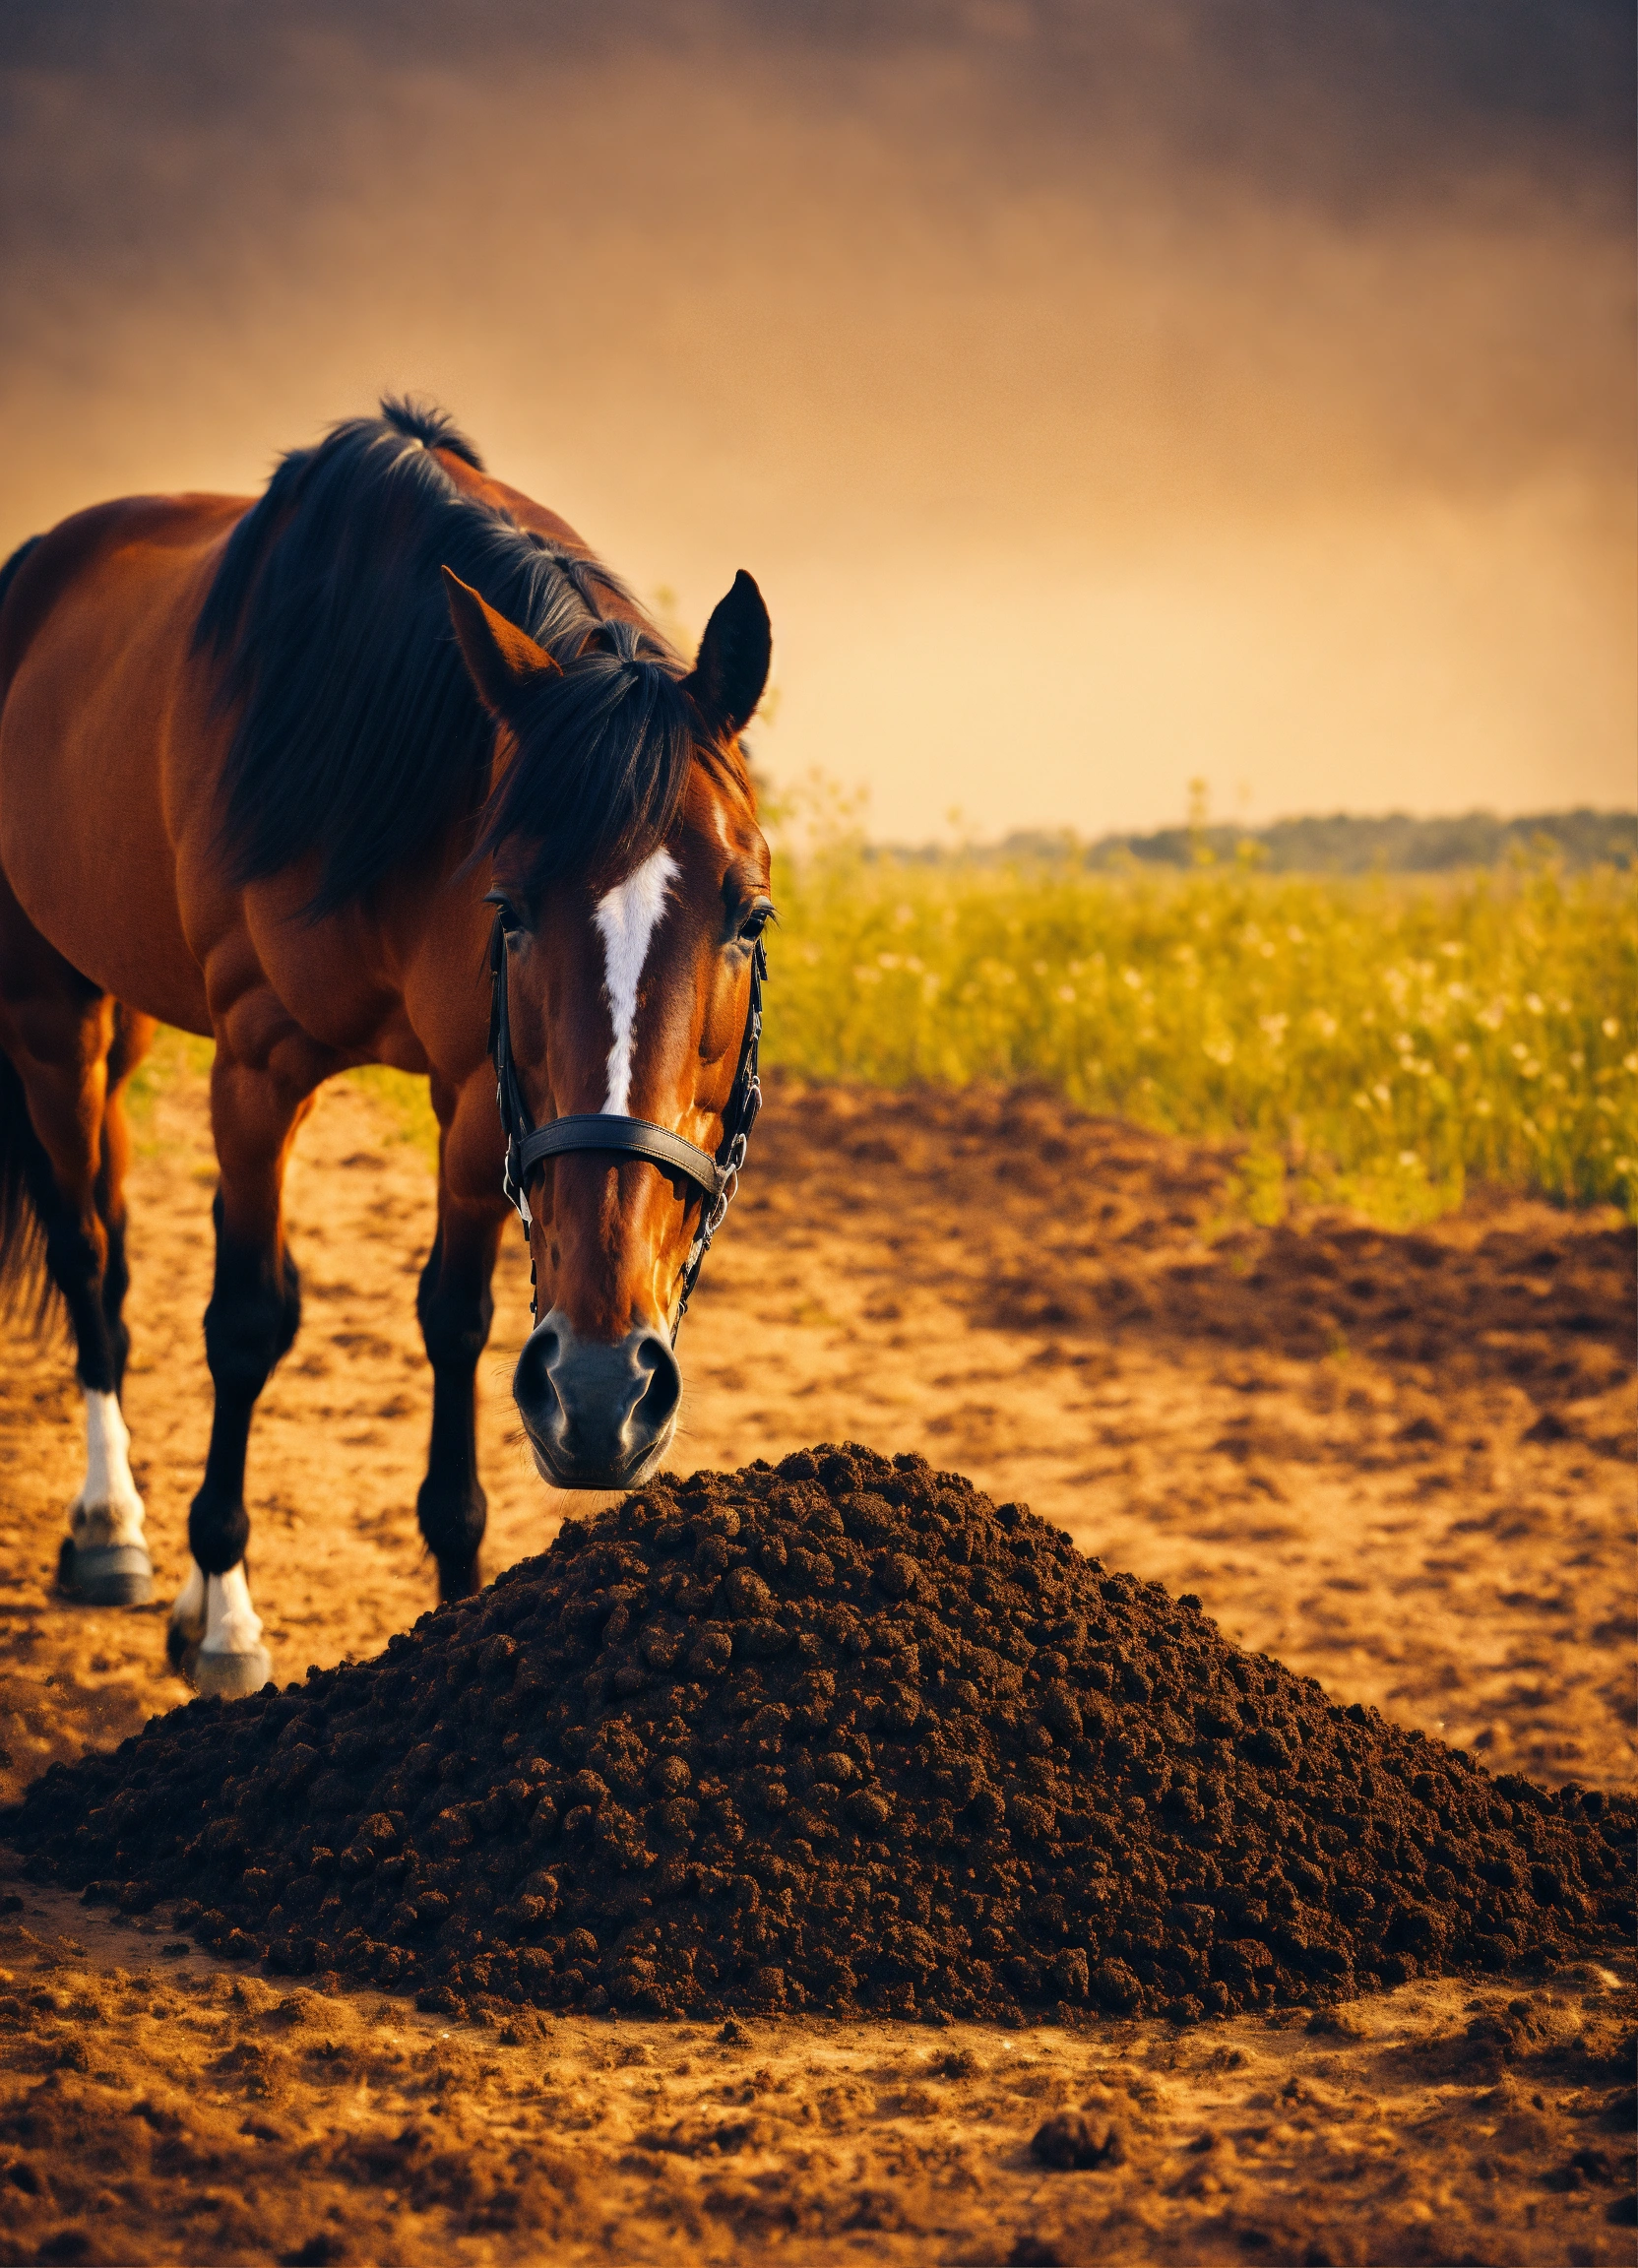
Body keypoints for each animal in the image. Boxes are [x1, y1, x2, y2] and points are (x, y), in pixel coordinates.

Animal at [0, 397, 773, 1697]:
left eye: (750, 916)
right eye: (507, 907)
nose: (604, 1395)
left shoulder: (474, 1100)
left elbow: (453, 1321)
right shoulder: (258, 1067)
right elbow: (246, 1319)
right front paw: (226, 1616)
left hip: (128, 1018)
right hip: (50, 1011)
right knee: (88, 1249)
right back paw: (111, 1533)